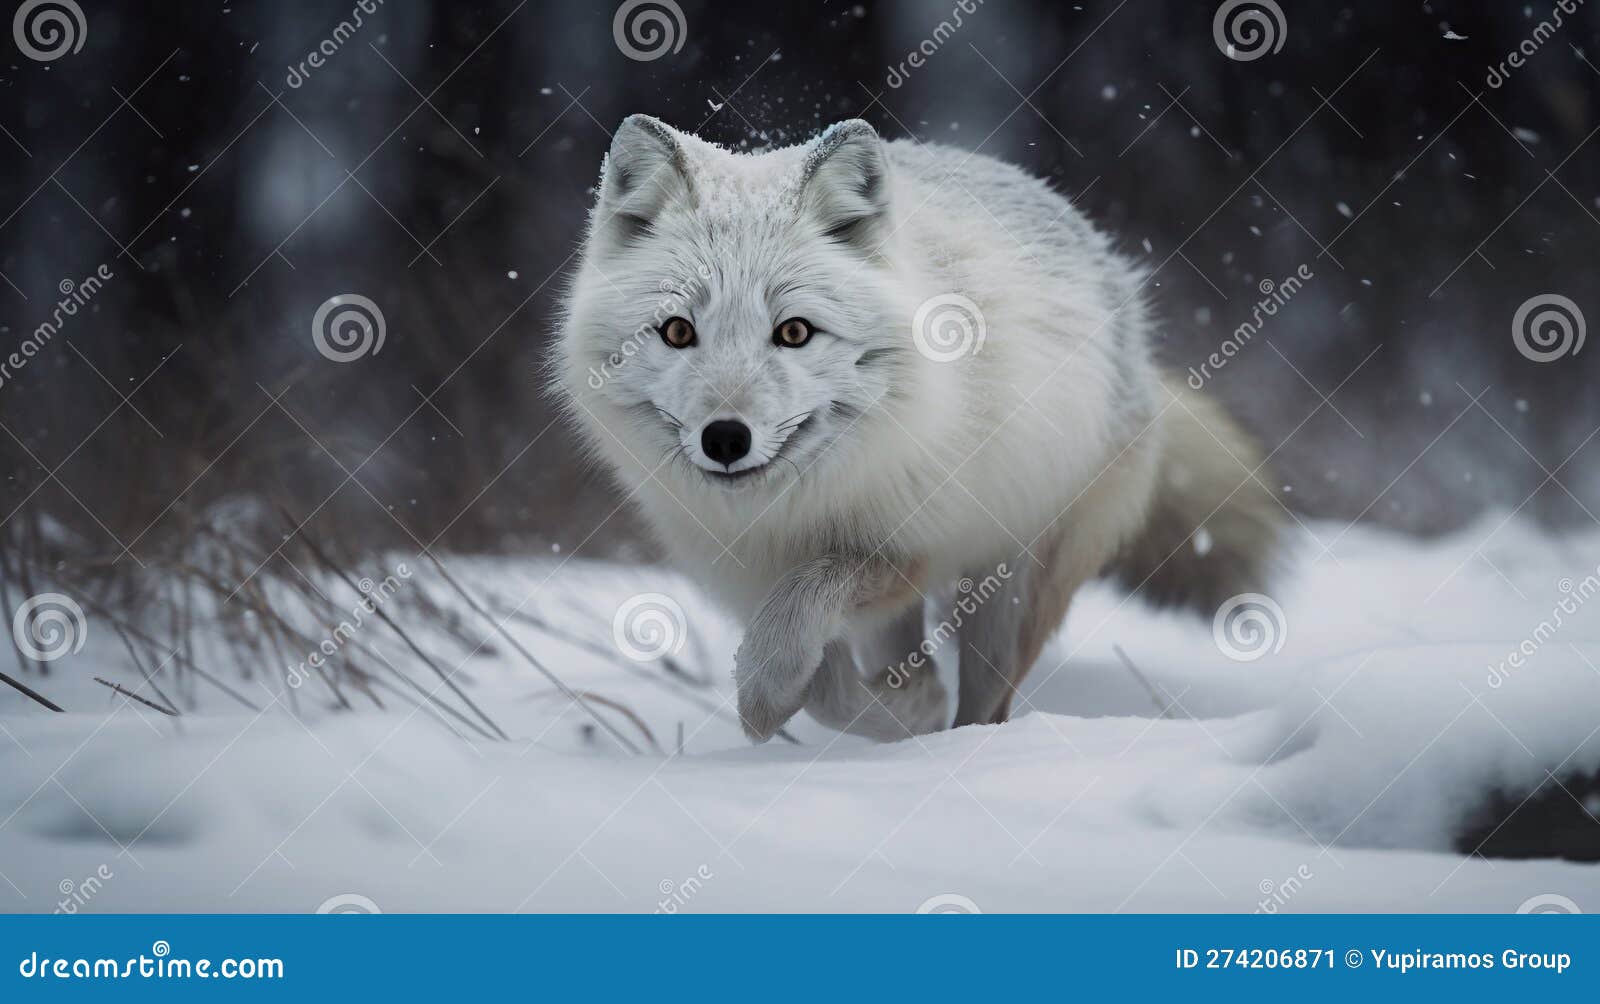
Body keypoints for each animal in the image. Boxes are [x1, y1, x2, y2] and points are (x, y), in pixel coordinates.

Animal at [553, 115, 1284, 743]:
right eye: (679, 332)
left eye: (794, 332)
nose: (725, 439)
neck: (794, 511)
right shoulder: (752, 575)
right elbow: (827, 687)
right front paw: (894, 707)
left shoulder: (902, 548)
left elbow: (805, 621)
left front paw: (779, 698)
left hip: (1012, 576)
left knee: (989, 702)